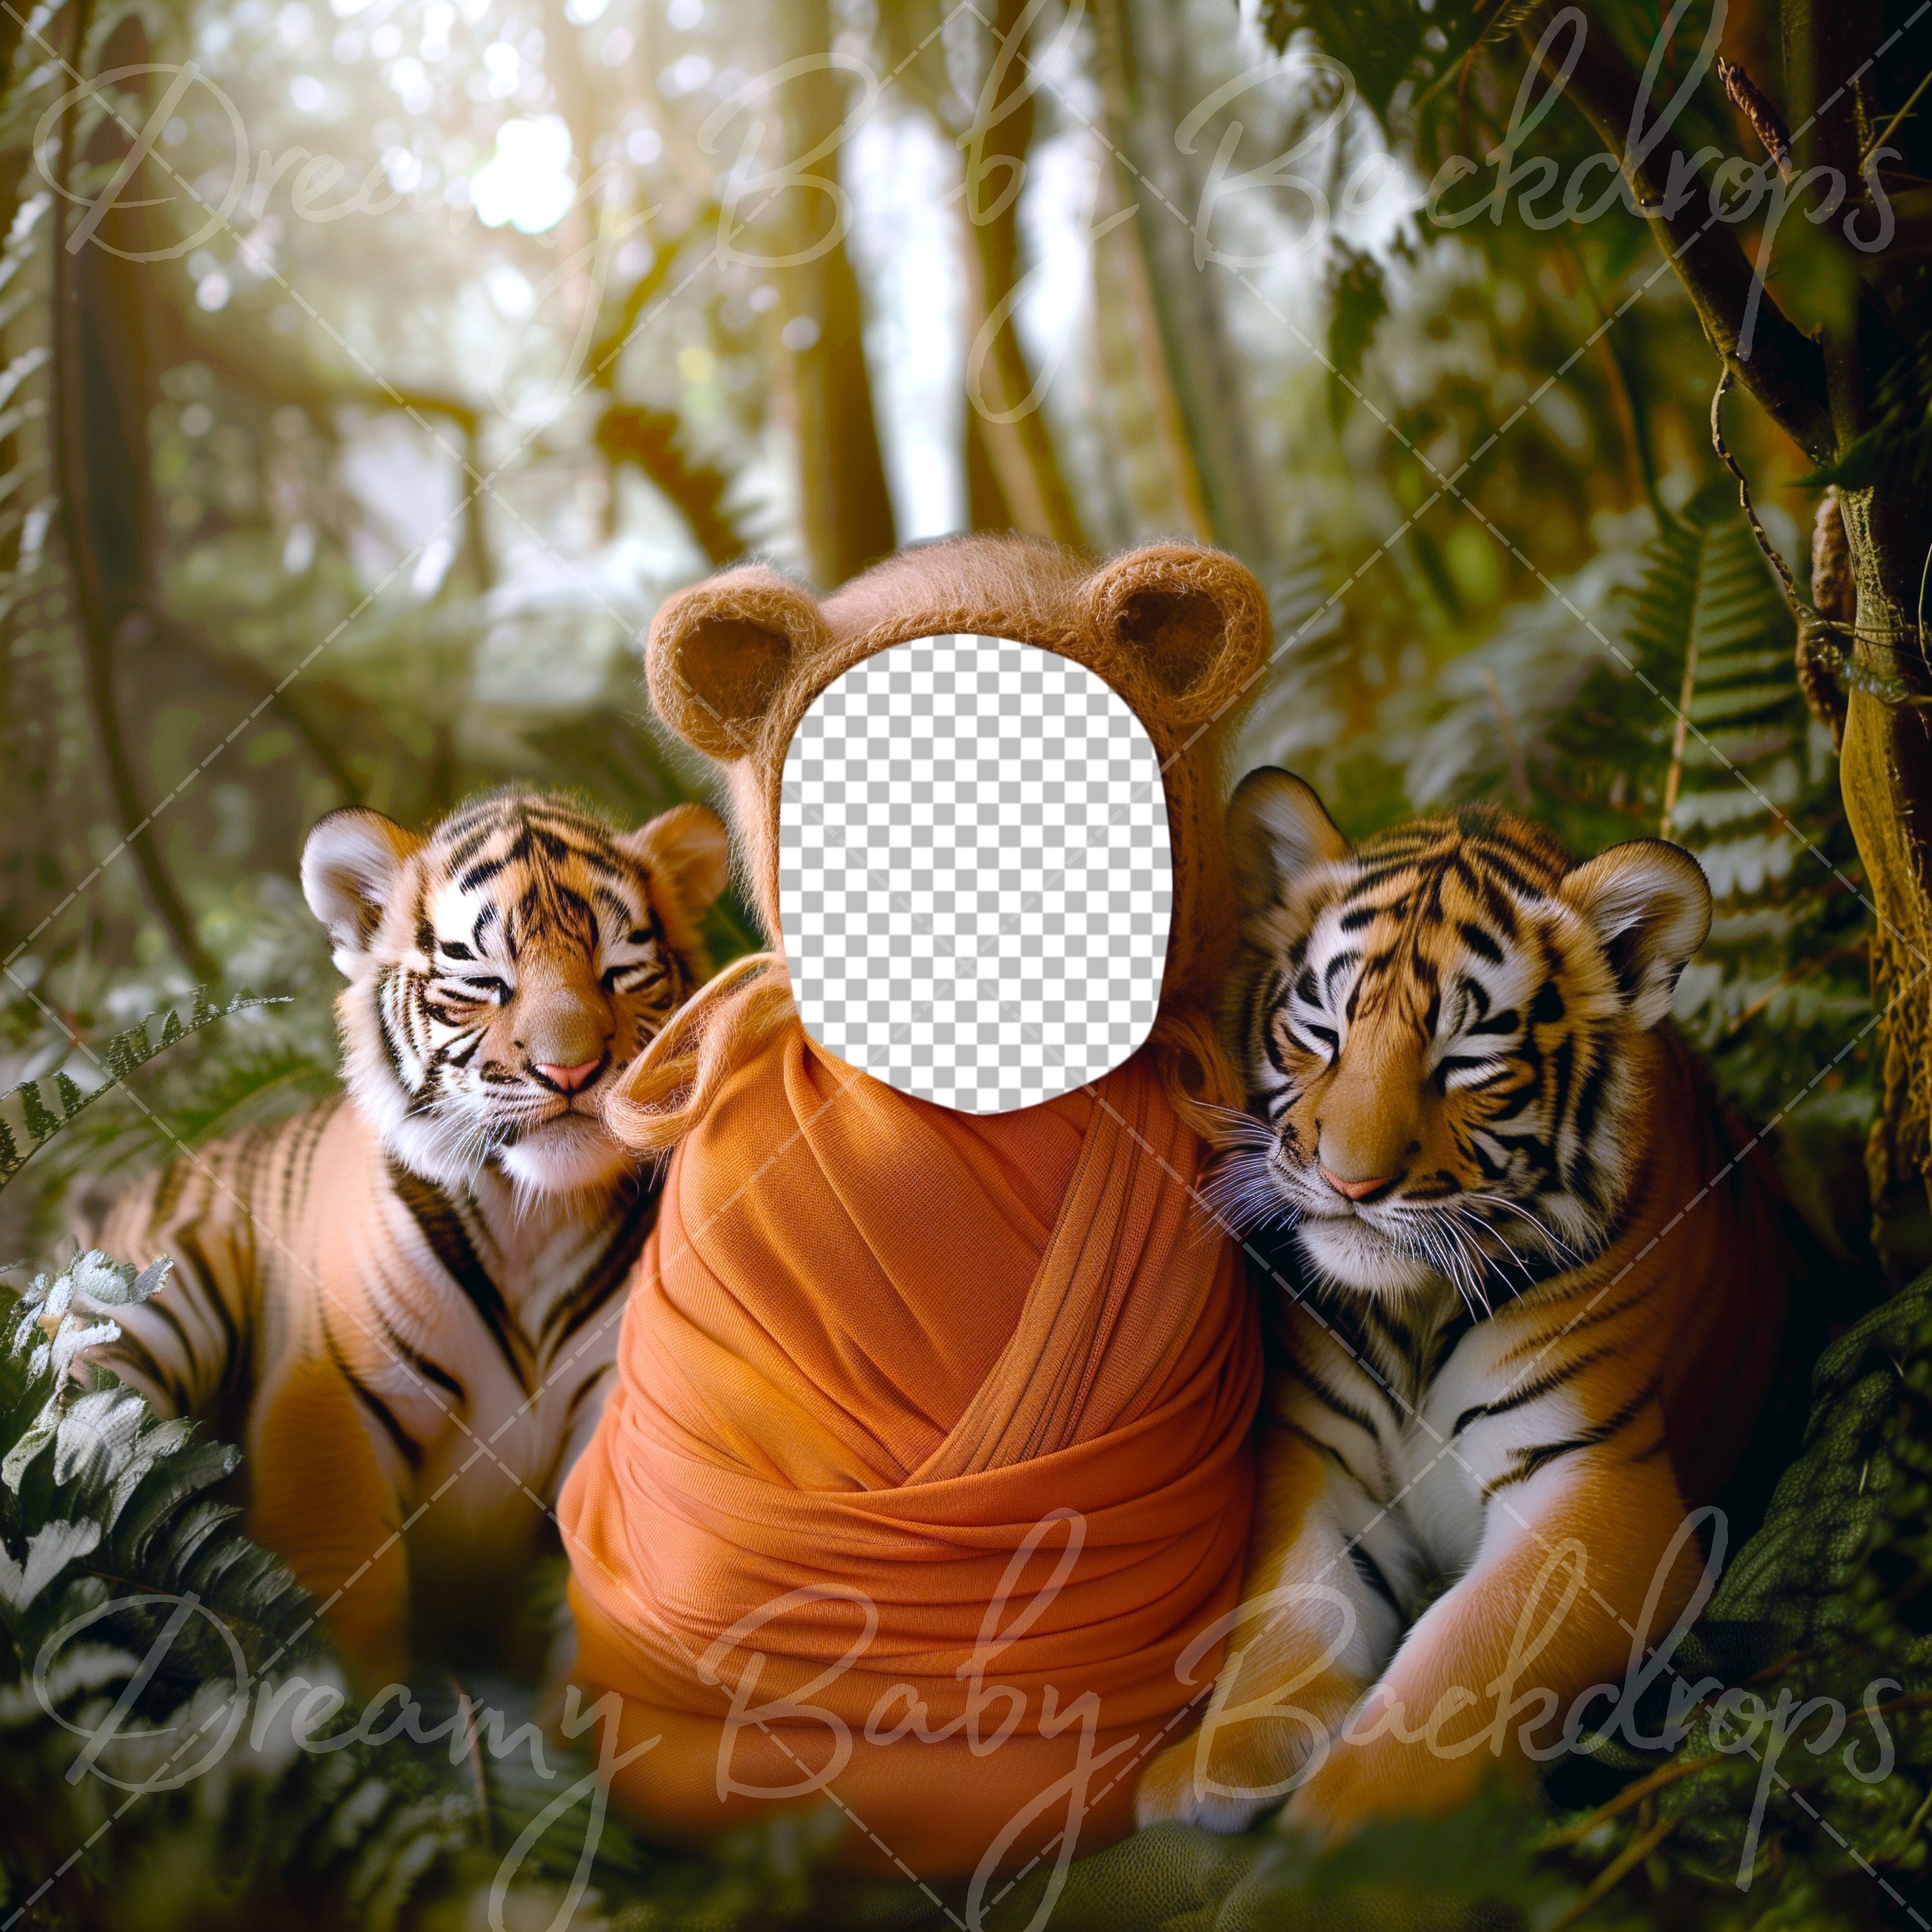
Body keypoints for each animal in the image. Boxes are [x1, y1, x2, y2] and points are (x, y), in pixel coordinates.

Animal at [81, 789, 728, 1685]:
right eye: (485, 982)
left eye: (618, 970)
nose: (572, 1073)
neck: (535, 1220)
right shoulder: (330, 1419)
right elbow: (345, 1627)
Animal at [1135, 768, 1797, 1839]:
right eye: (1321, 1033)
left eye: (1467, 1064)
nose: (1349, 1182)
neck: (1412, 1314)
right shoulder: (1312, 1465)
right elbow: (1288, 1614)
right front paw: (1211, 1764)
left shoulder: (1599, 1494)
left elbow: (1465, 1660)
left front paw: (1355, 1824)